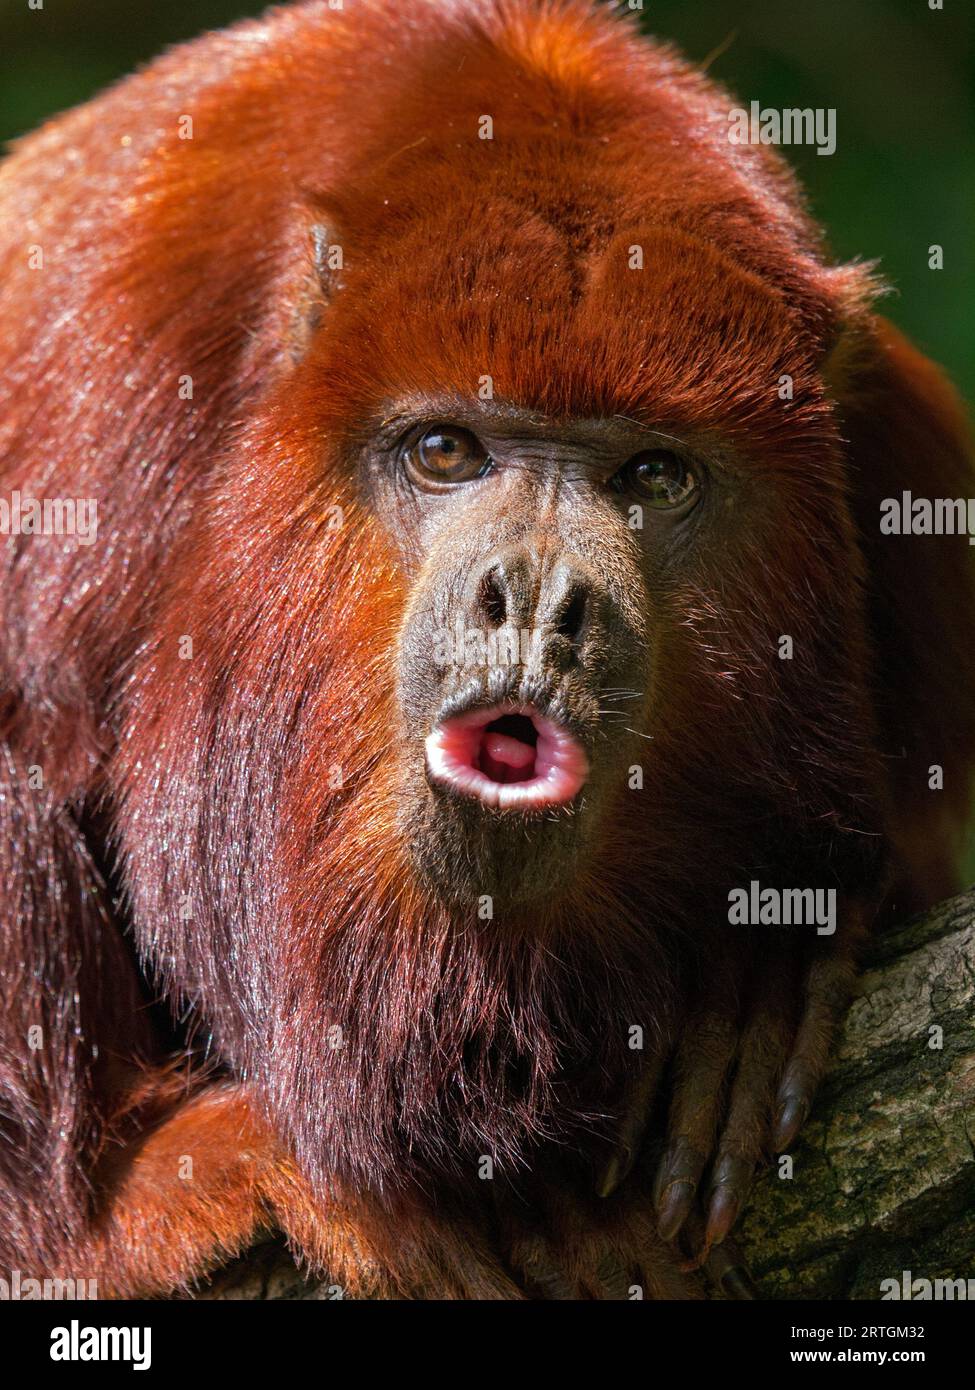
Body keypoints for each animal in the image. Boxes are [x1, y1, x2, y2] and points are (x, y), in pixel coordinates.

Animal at [1, 0, 973, 1299]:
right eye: (445, 451)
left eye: (653, 474)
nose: (538, 598)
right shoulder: (111, 384)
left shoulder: (899, 459)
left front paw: (747, 977)